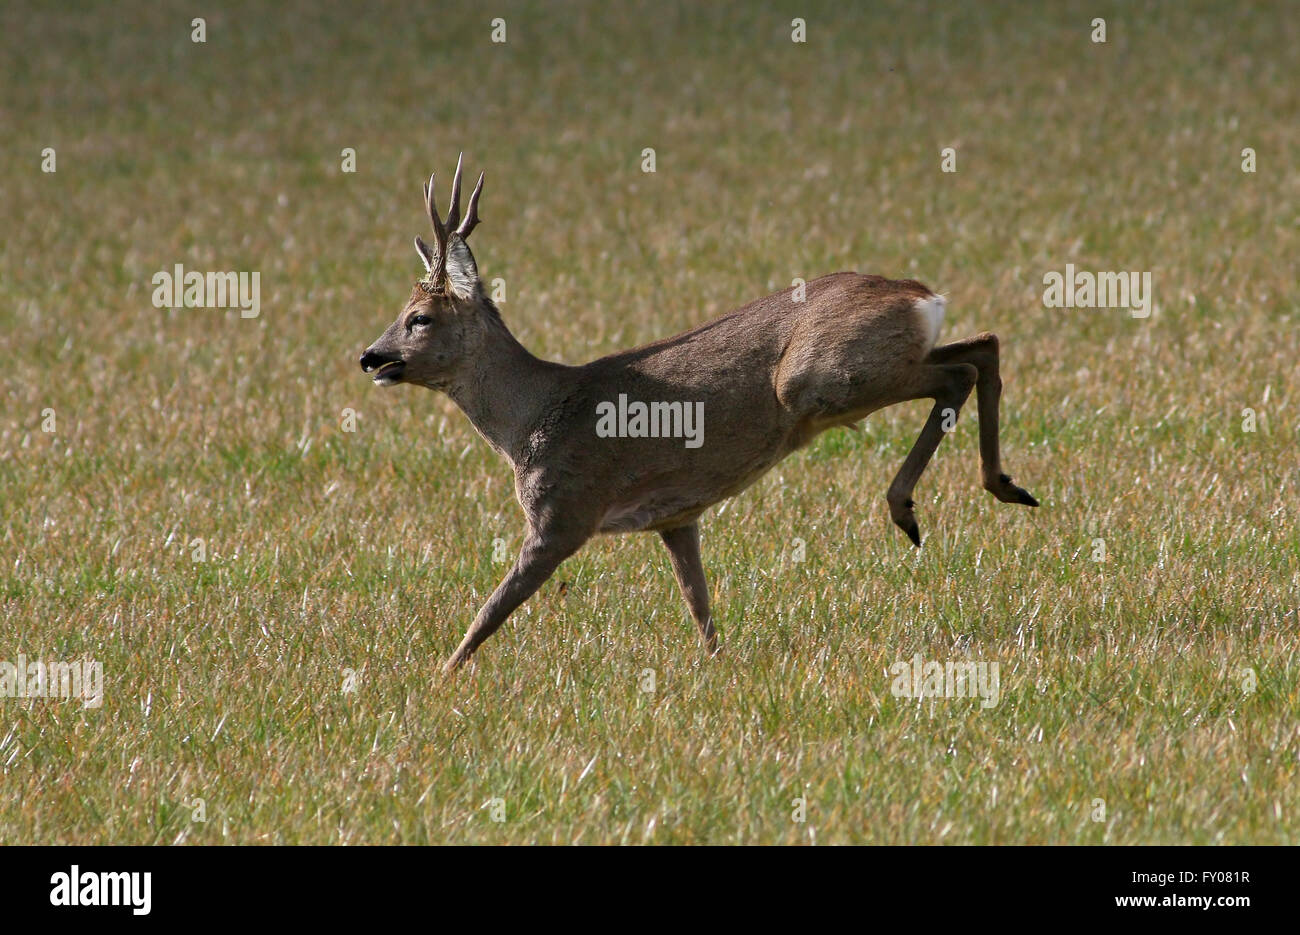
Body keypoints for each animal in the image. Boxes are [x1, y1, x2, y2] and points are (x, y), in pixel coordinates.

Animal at [359, 155, 1039, 675]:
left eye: (419, 318)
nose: (370, 357)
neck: (529, 421)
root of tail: (923, 296)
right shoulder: (676, 516)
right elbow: (699, 603)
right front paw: (716, 665)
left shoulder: (563, 513)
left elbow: (490, 610)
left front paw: (439, 677)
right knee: (982, 346)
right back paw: (1002, 486)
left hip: (818, 381)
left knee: (959, 371)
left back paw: (915, 505)